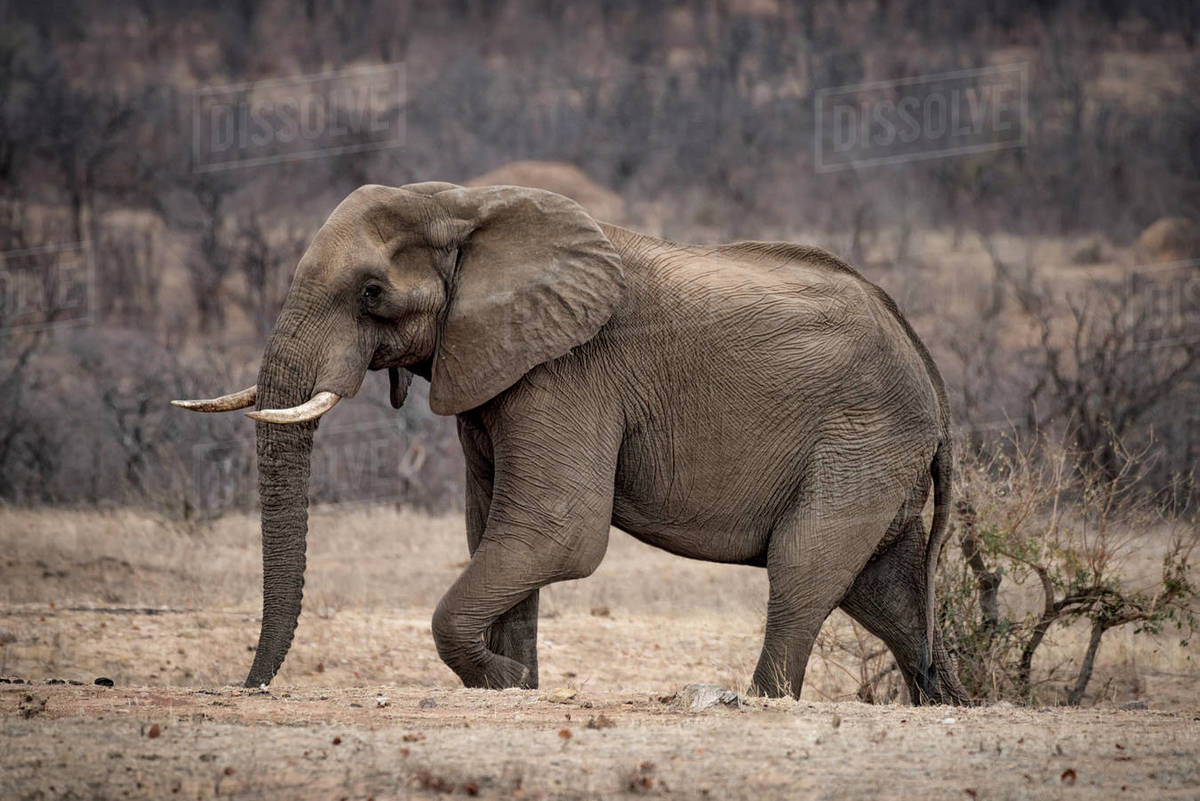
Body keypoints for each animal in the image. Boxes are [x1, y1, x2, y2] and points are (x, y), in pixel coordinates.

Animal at [173, 181, 967, 704]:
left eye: (371, 293)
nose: (248, 687)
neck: (469, 206)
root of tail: (934, 374)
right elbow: (495, 530)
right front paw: (518, 686)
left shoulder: (572, 370)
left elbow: (555, 530)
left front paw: (507, 682)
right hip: (879, 450)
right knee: (885, 592)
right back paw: (946, 700)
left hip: (863, 435)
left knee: (804, 567)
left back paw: (763, 699)